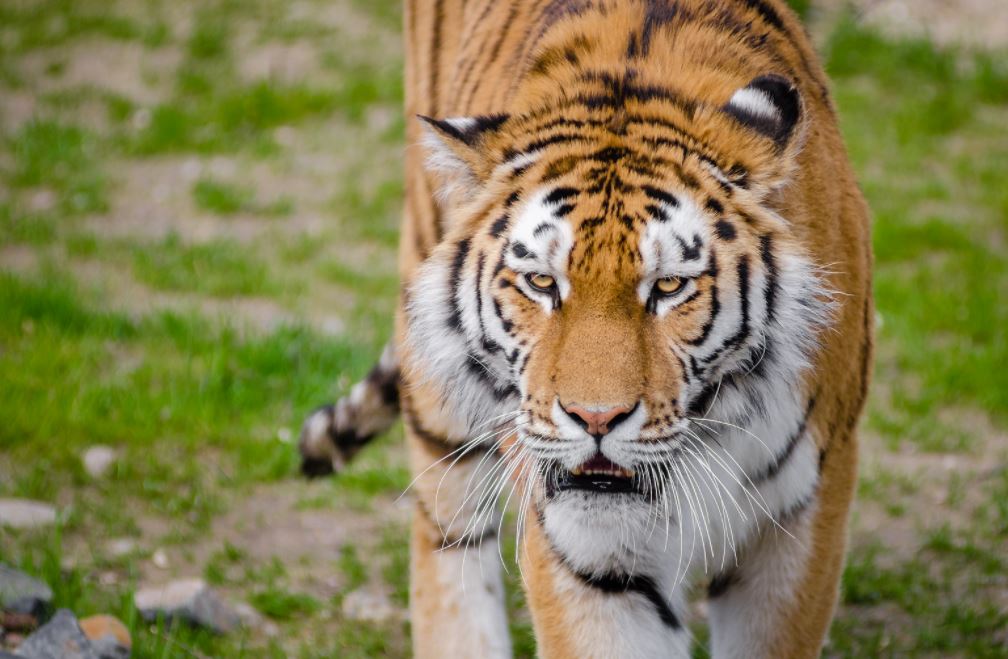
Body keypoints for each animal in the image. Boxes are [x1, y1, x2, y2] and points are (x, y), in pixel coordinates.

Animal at [299, 0, 873, 657]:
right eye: (541, 283)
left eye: (668, 287)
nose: (595, 419)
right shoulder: (583, 550)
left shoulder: (802, 522)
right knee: (446, 535)